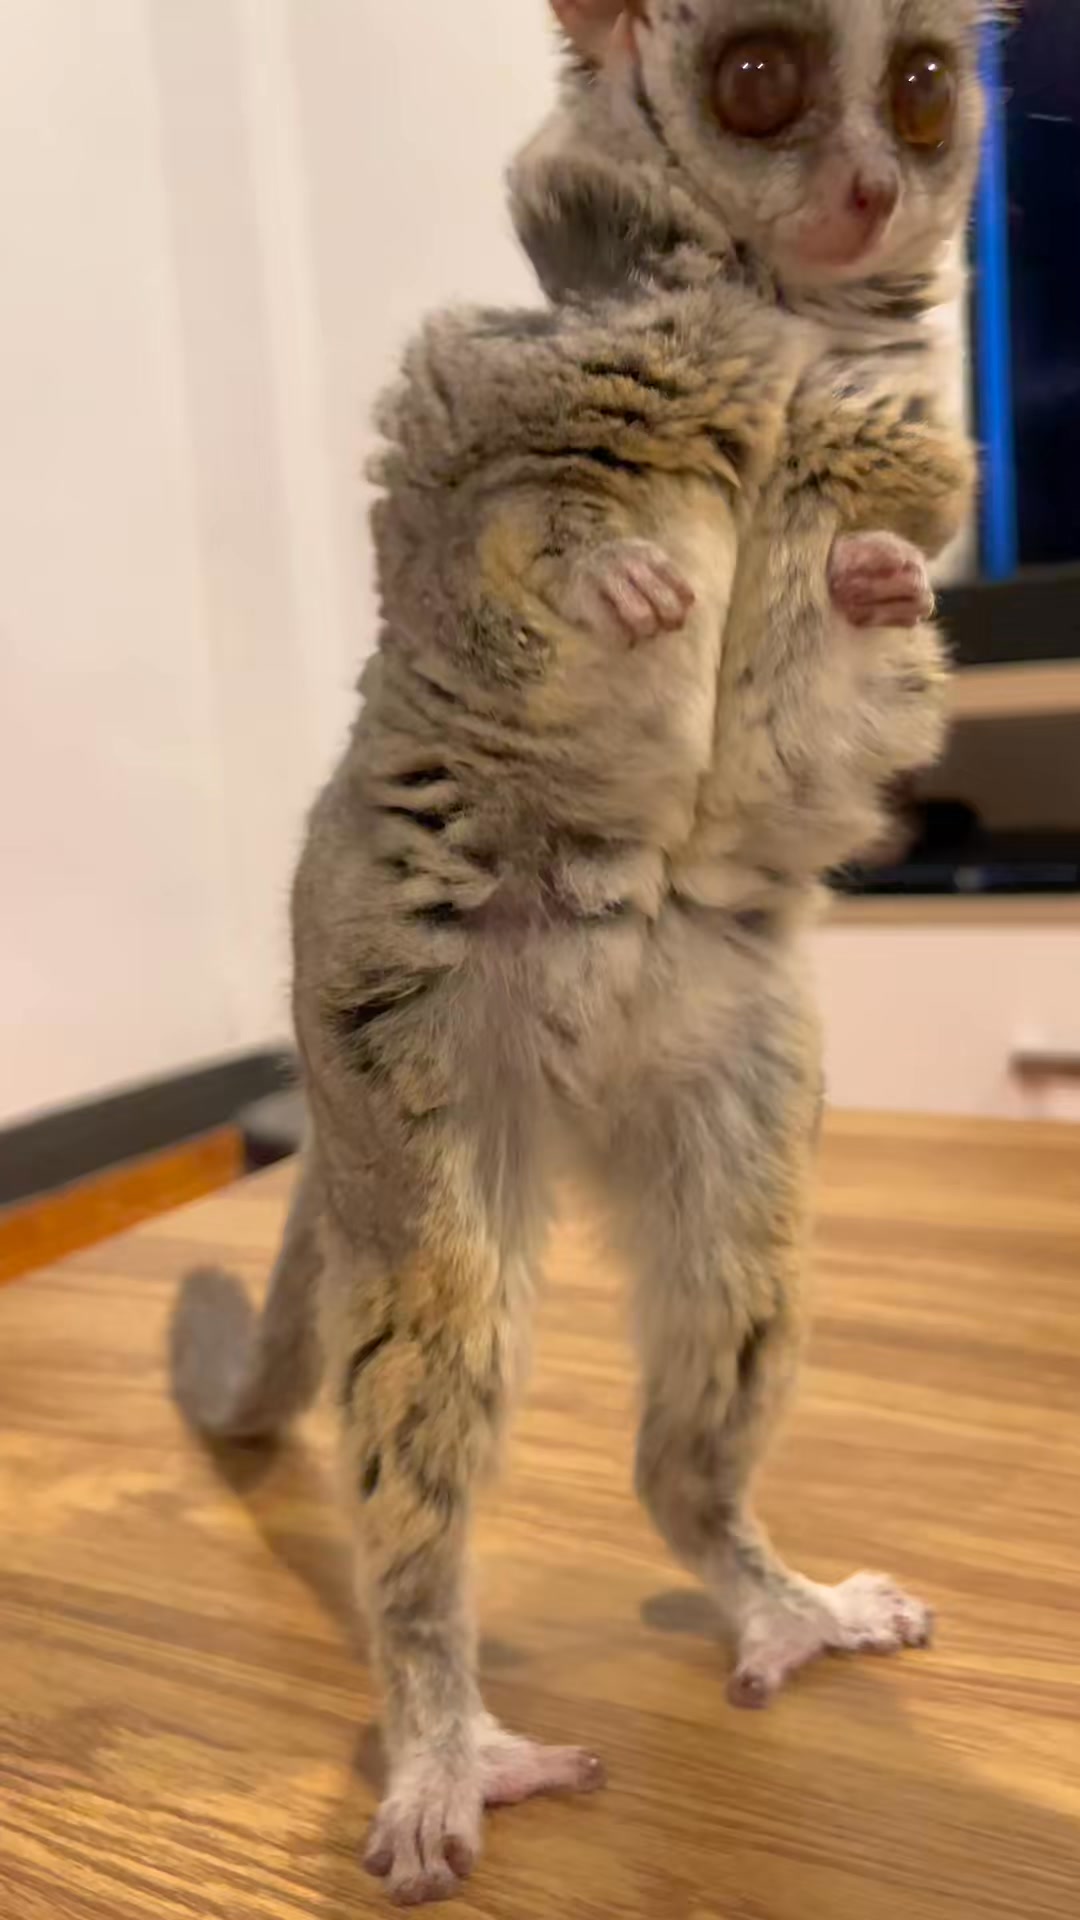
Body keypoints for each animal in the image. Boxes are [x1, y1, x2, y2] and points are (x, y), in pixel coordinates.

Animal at [171, 2, 987, 1903]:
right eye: (759, 80)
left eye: (923, 91)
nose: (866, 187)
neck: (774, 314)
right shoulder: (483, 395)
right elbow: (454, 535)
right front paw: (615, 580)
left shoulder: (921, 446)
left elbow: (901, 585)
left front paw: (871, 582)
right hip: (399, 1052)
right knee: (431, 1339)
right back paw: (441, 1729)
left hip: (738, 1064)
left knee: (726, 1319)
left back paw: (767, 1592)